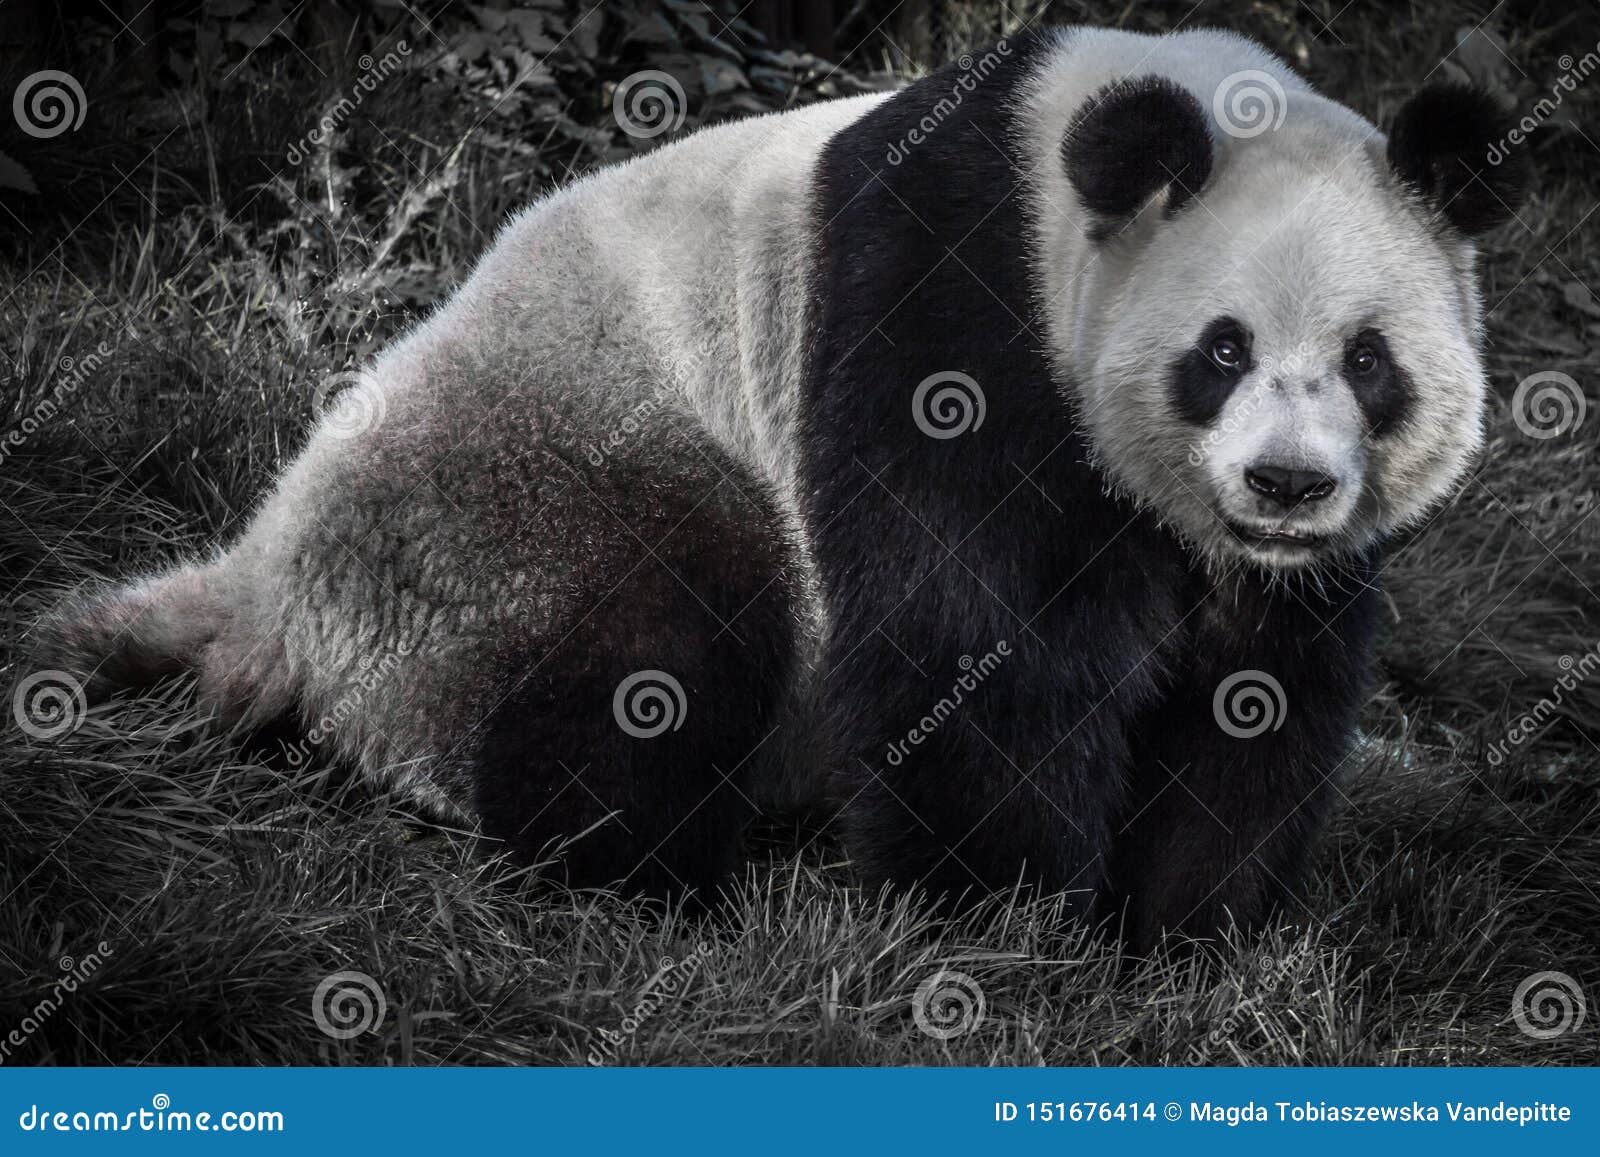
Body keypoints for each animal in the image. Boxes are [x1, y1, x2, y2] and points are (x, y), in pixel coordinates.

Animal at [34, 26, 1525, 949]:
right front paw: (1001, 928)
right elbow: (976, 635)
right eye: (1221, 350)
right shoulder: (950, 301)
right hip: (539, 475)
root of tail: (266, 577)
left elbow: (1261, 687)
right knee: (664, 638)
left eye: (1370, 362)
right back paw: (644, 876)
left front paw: (1186, 936)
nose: (1285, 484)